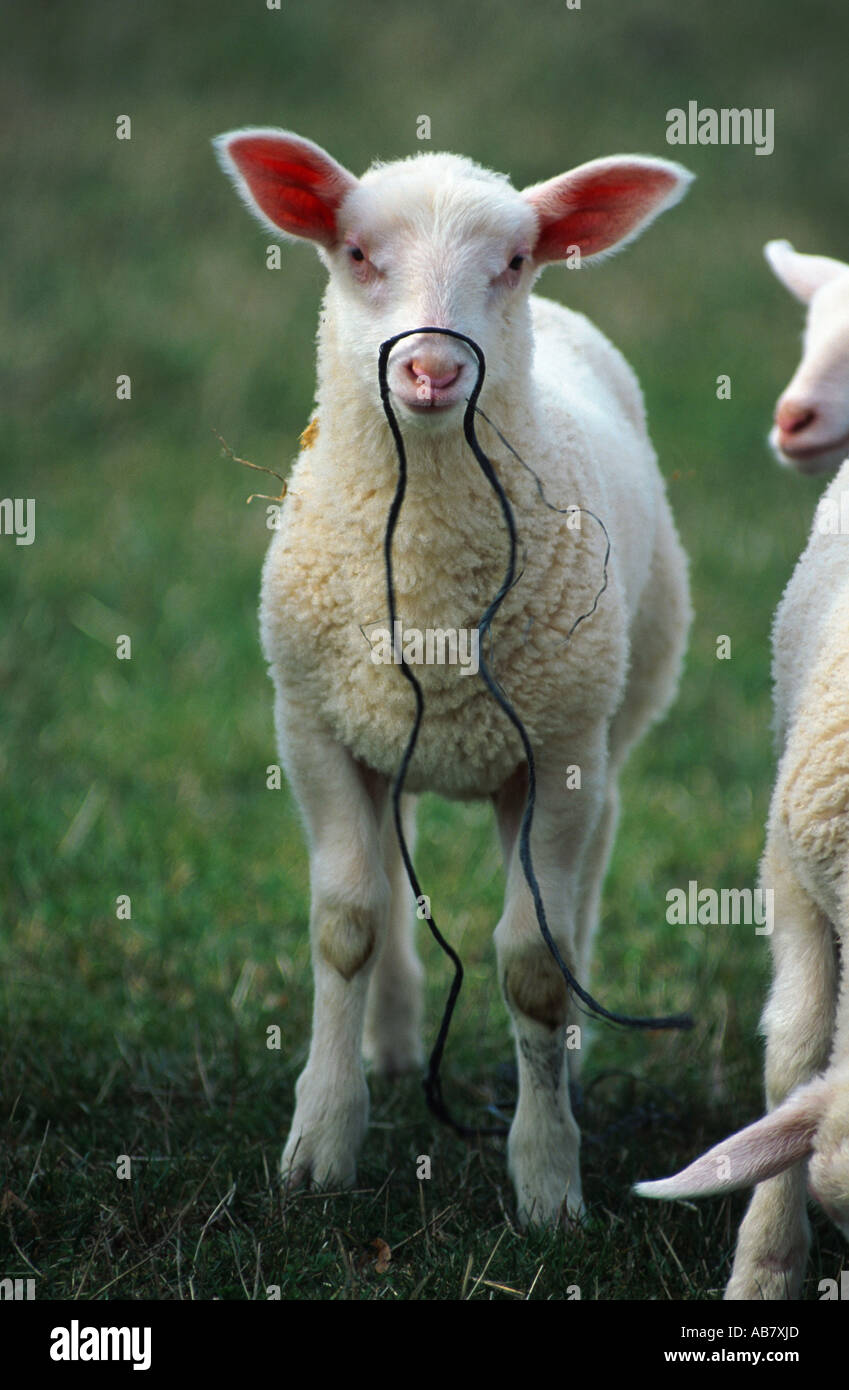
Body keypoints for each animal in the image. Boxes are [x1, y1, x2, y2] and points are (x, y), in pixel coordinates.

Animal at [214, 127, 693, 1226]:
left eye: (511, 261)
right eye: (355, 253)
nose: (432, 370)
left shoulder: (554, 753)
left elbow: (532, 967)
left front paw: (549, 1183)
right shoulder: (312, 728)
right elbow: (344, 926)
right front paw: (320, 1145)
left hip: (610, 719)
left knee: (587, 874)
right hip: (387, 732)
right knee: (391, 880)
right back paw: (390, 1046)